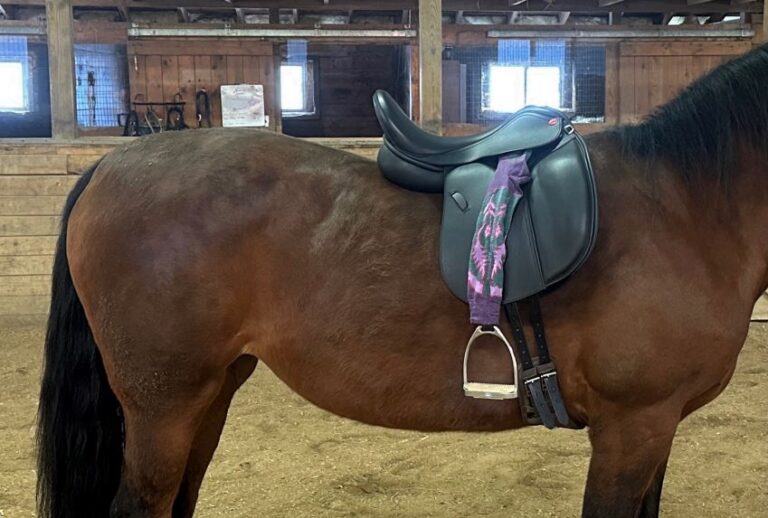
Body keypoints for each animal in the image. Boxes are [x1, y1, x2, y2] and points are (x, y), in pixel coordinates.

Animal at [37, 43, 768, 518]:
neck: (684, 205)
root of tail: (111, 165)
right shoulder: (631, 427)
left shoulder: (654, 430)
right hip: (162, 406)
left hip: (208, 394)